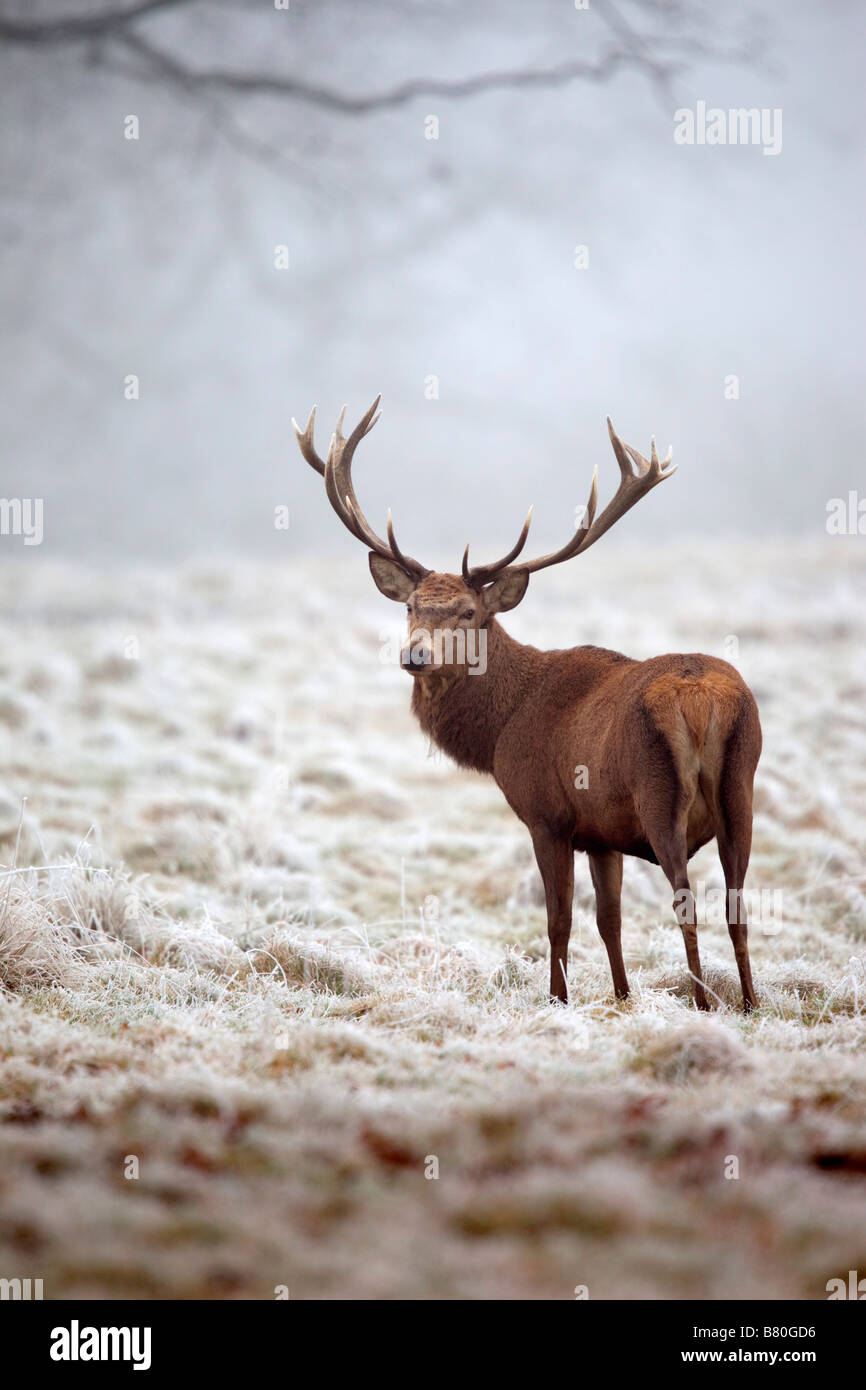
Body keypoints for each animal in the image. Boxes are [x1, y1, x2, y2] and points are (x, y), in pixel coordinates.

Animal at [293, 397, 762, 1012]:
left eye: (469, 612)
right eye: (411, 606)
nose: (415, 656)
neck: (499, 729)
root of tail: (706, 702)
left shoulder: (547, 814)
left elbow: (559, 920)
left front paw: (558, 1000)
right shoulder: (602, 833)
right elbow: (609, 919)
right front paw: (621, 998)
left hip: (662, 798)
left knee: (688, 904)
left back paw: (705, 1002)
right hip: (741, 789)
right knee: (740, 906)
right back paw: (751, 1003)